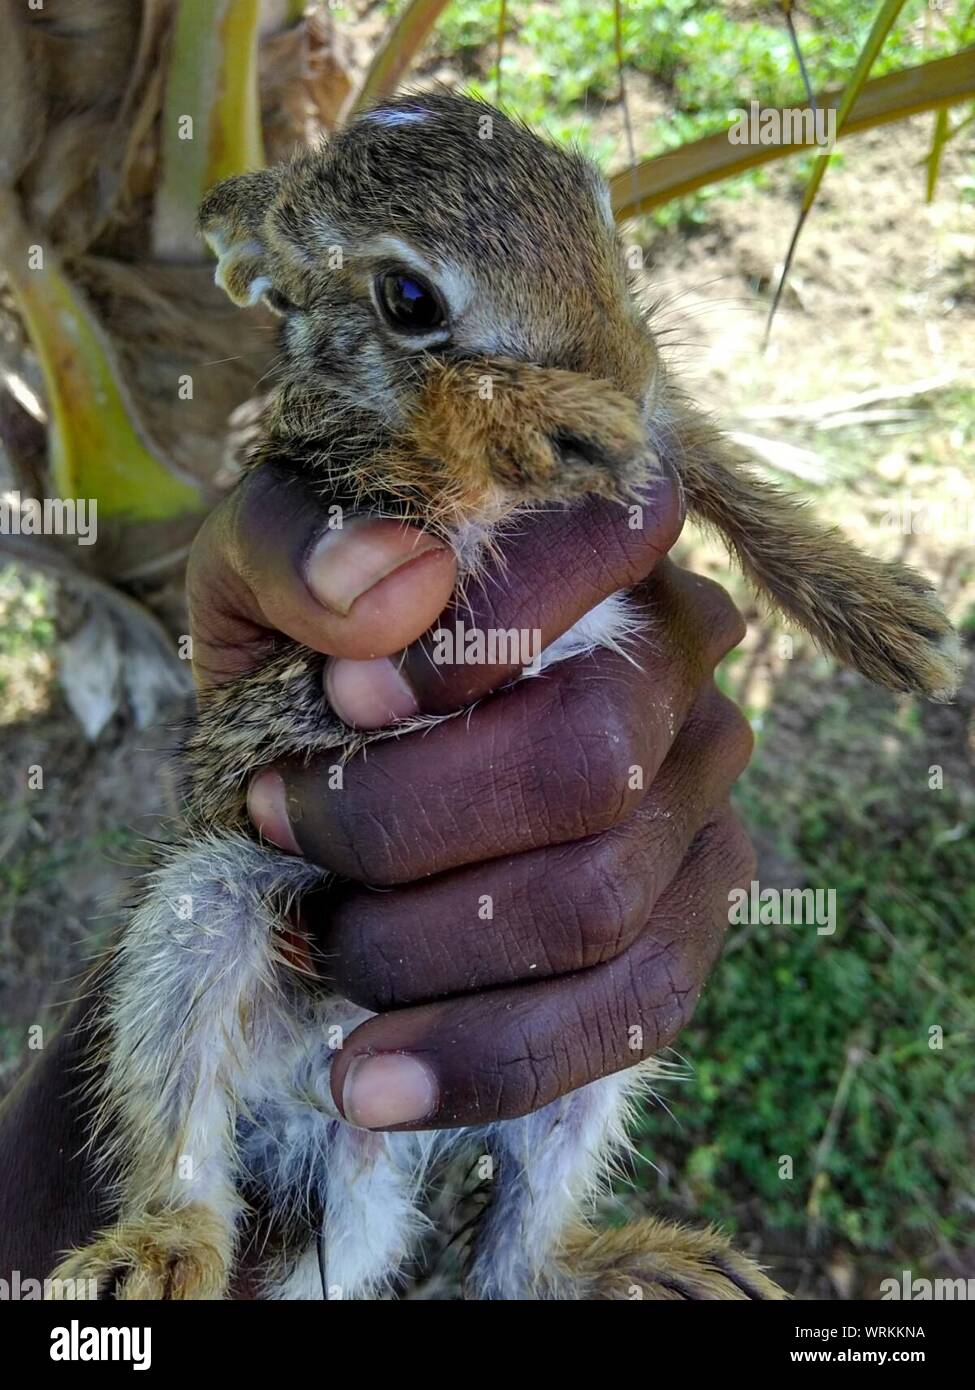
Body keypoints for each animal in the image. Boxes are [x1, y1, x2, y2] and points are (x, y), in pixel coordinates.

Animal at [50, 91, 959, 1301]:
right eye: (407, 300)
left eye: (604, 227)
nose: (614, 379)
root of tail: (353, 1139)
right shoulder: (380, 504)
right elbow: (452, 421)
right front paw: (547, 419)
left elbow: (708, 464)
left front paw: (895, 623)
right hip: (202, 915)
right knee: (186, 1149)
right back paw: (145, 1263)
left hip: (586, 1079)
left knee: (519, 1257)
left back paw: (650, 1271)